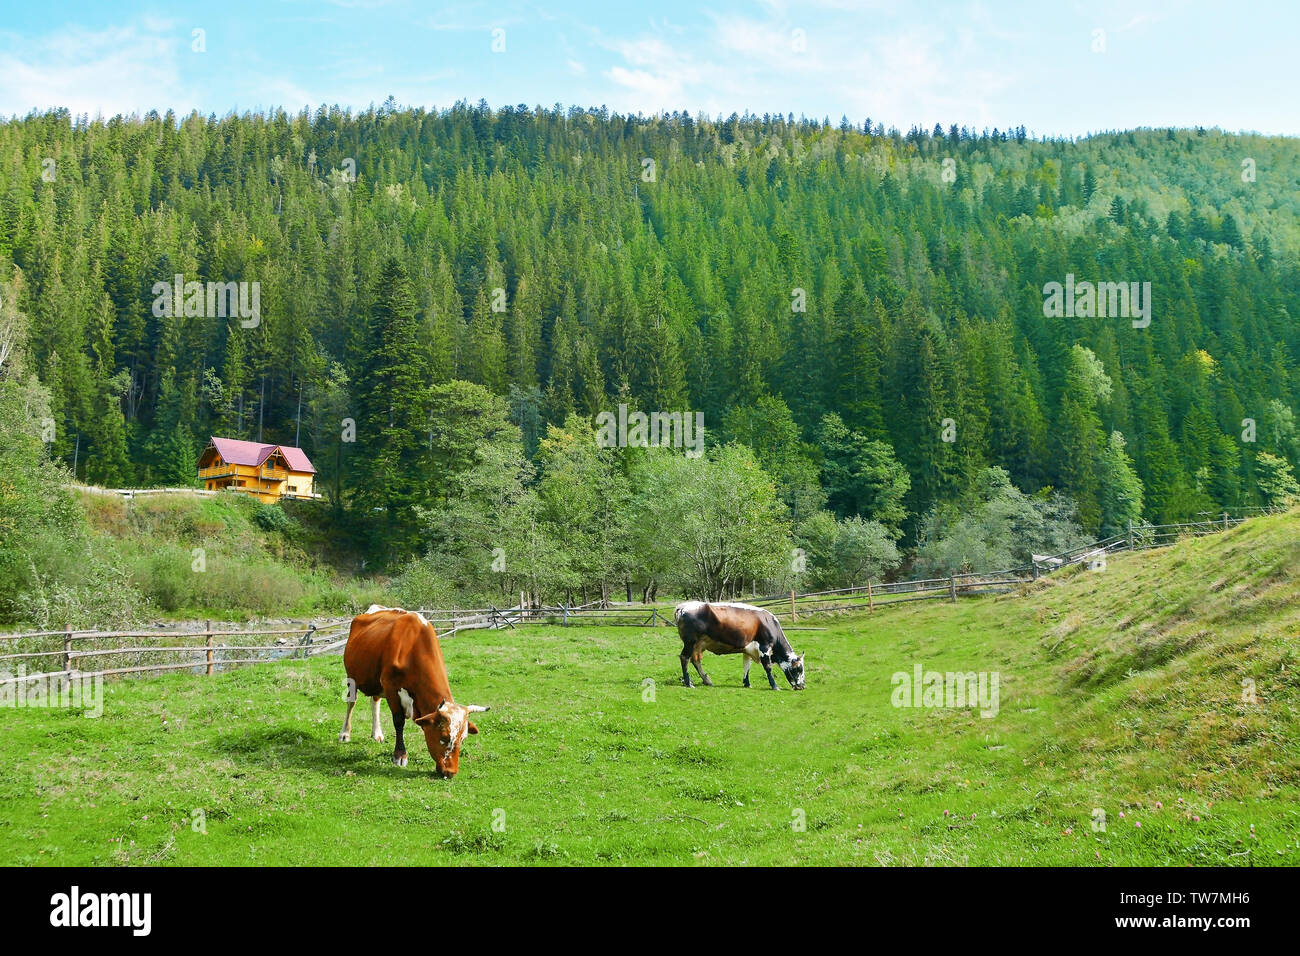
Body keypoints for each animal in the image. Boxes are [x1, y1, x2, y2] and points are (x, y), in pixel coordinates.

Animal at [339, 604, 488, 778]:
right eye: (444, 737)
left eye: (463, 739)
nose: (451, 772)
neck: (412, 648)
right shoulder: (390, 687)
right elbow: (398, 721)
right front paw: (400, 755)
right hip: (352, 677)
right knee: (351, 702)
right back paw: (345, 733)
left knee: (374, 702)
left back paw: (376, 733)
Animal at [673, 600, 806, 690]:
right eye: (798, 669)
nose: (802, 686)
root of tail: (683, 606)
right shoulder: (764, 647)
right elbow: (768, 667)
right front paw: (774, 686)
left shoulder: (748, 649)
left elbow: (746, 666)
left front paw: (747, 683)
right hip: (690, 642)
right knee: (685, 658)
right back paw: (688, 683)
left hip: (699, 645)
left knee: (695, 660)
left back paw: (707, 681)